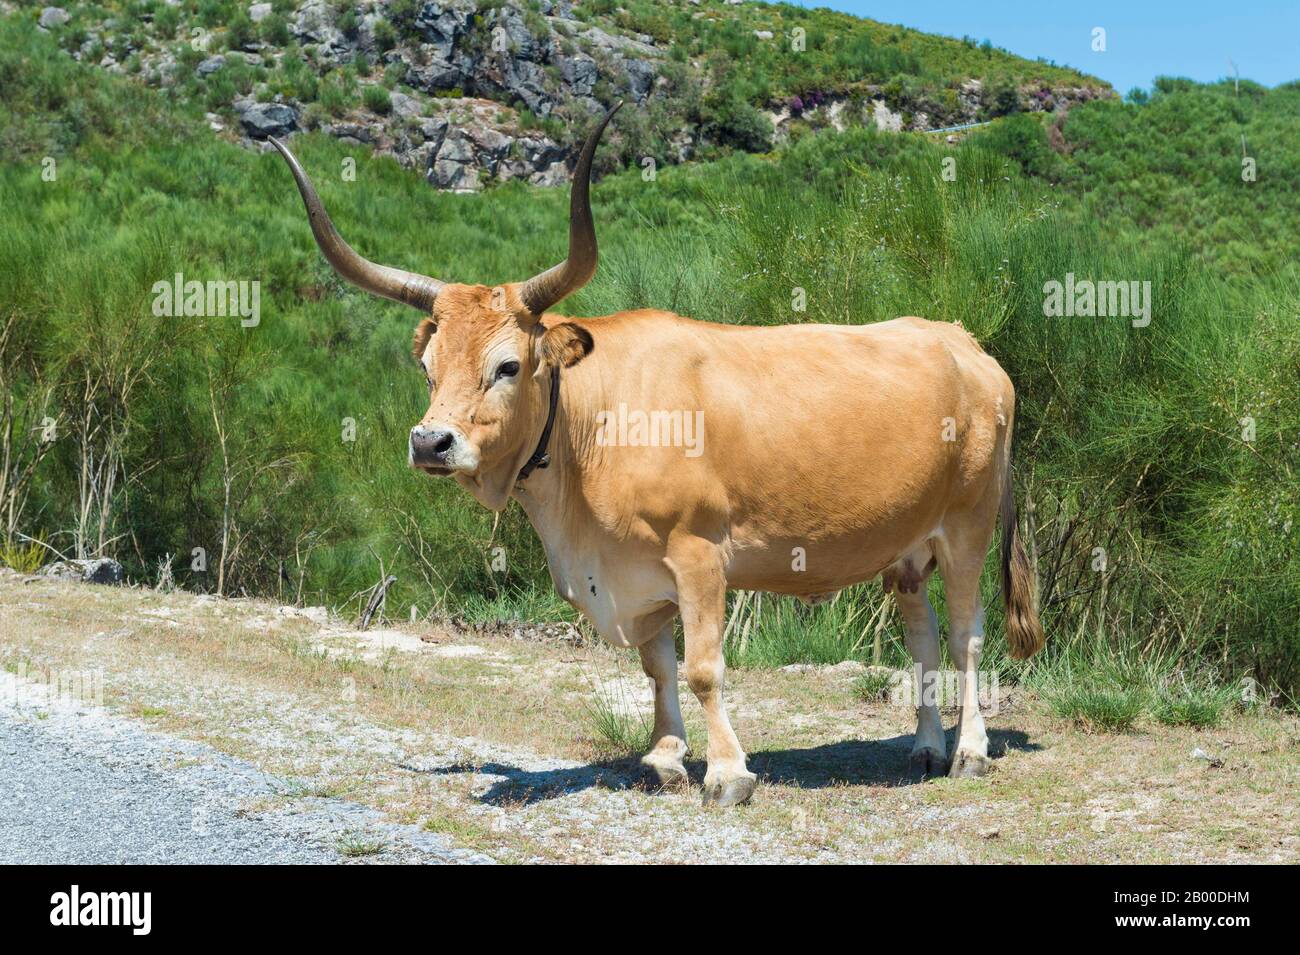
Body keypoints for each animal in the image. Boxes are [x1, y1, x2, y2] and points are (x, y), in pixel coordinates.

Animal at [271, 104, 1044, 808]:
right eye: (429, 366)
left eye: (507, 366)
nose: (431, 442)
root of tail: (966, 343)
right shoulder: (638, 572)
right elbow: (657, 666)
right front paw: (668, 758)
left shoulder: (698, 555)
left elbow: (702, 668)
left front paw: (727, 773)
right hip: (906, 549)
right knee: (924, 637)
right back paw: (925, 746)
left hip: (968, 529)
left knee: (968, 636)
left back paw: (970, 751)